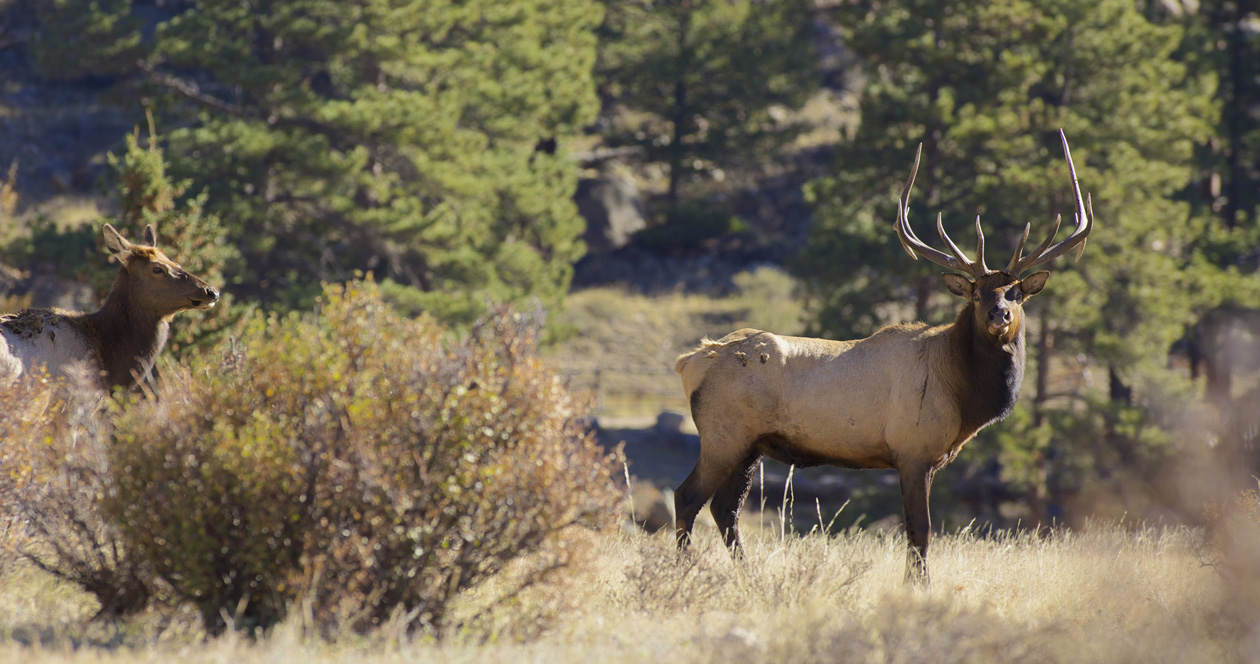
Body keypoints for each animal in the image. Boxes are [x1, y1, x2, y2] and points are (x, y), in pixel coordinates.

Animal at [672, 131, 1094, 583]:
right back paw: (680, 569)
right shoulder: (912, 449)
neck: (963, 396)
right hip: (723, 435)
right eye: (978, 294)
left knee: (724, 509)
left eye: (1015, 293)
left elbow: (914, 532)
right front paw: (918, 586)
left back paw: (747, 576)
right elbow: (920, 530)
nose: (999, 315)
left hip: (750, 446)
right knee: (687, 497)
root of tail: (689, 362)